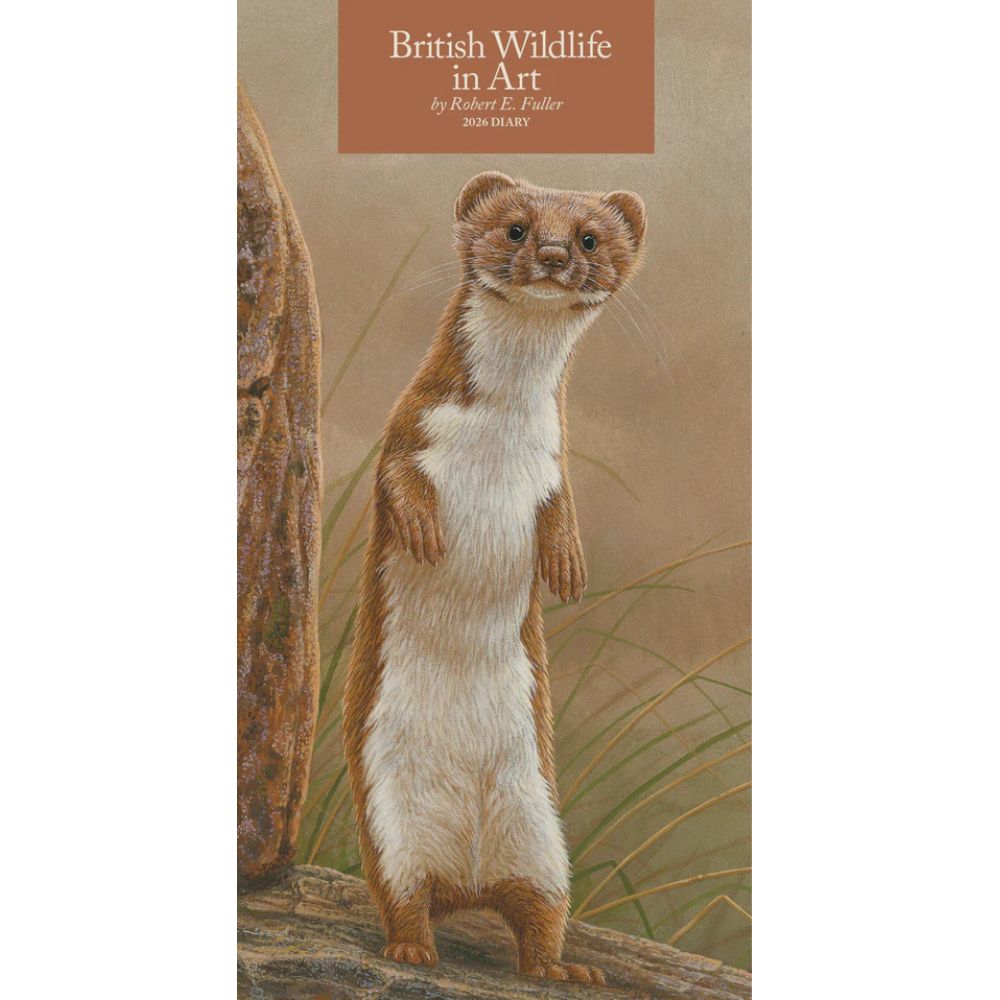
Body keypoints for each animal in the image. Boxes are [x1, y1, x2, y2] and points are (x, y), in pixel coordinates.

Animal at [343, 171, 646, 984]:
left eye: (589, 238)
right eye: (515, 228)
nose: (552, 254)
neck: (499, 440)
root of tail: (467, 880)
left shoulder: (551, 465)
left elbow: (561, 514)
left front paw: (568, 566)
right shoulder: (408, 429)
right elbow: (397, 482)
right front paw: (425, 531)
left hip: (542, 837)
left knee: (539, 909)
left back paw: (559, 967)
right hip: (389, 824)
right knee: (404, 895)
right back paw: (413, 948)